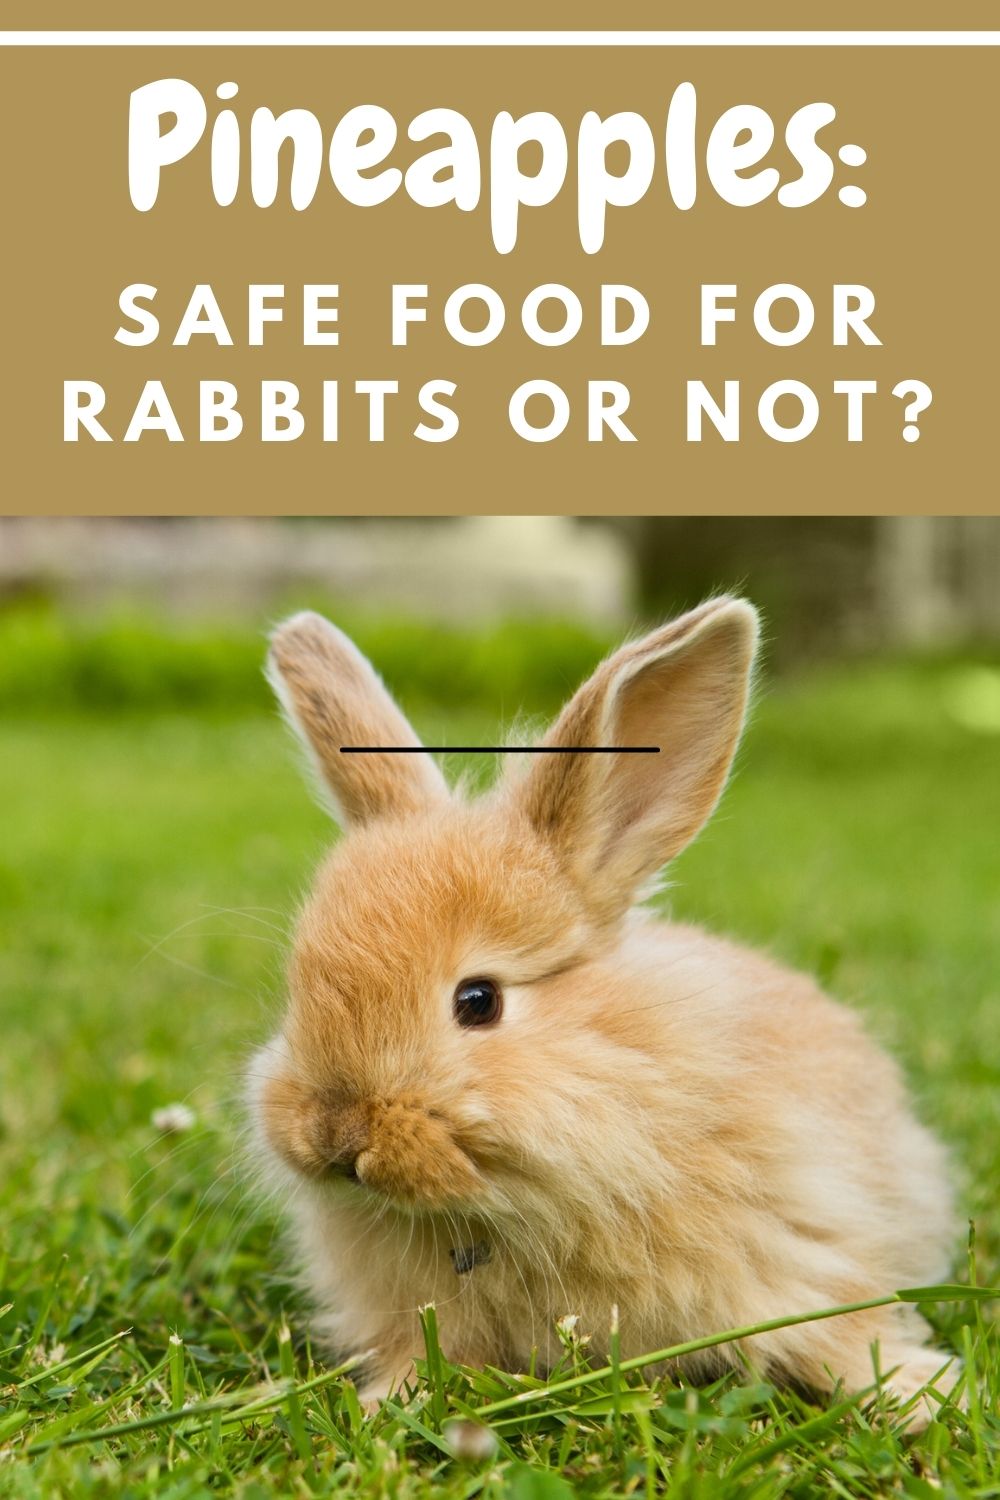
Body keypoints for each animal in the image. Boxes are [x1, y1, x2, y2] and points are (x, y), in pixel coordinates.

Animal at [248, 598, 958, 1425]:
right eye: (298, 991)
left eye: (478, 1001)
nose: (334, 1133)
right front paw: (380, 1405)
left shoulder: (809, 1245)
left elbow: (838, 1332)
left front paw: (925, 1393)